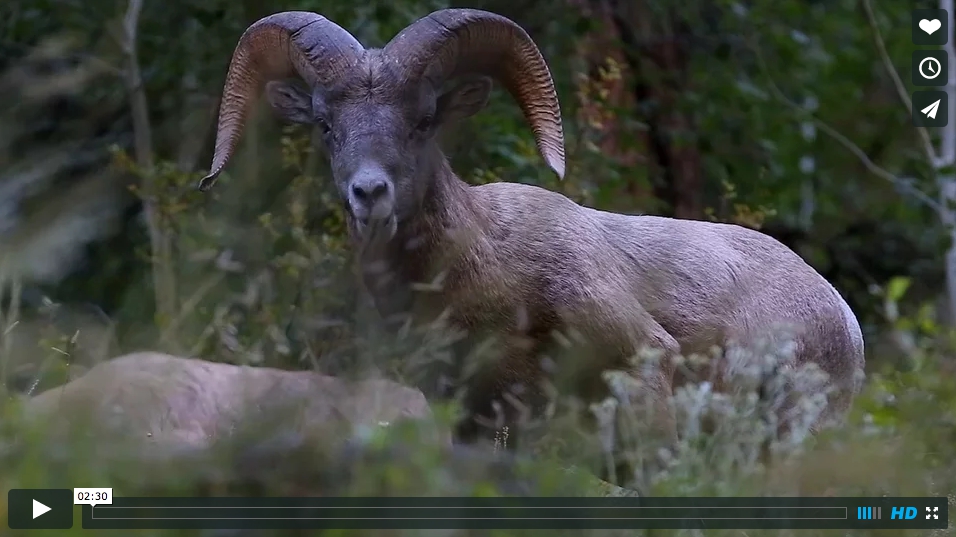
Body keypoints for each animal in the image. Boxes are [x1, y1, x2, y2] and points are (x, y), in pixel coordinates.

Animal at [197, 9, 865, 458]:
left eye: (423, 120)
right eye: (327, 124)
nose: (369, 194)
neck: (486, 278)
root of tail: (843, 317)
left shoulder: (644, 366)